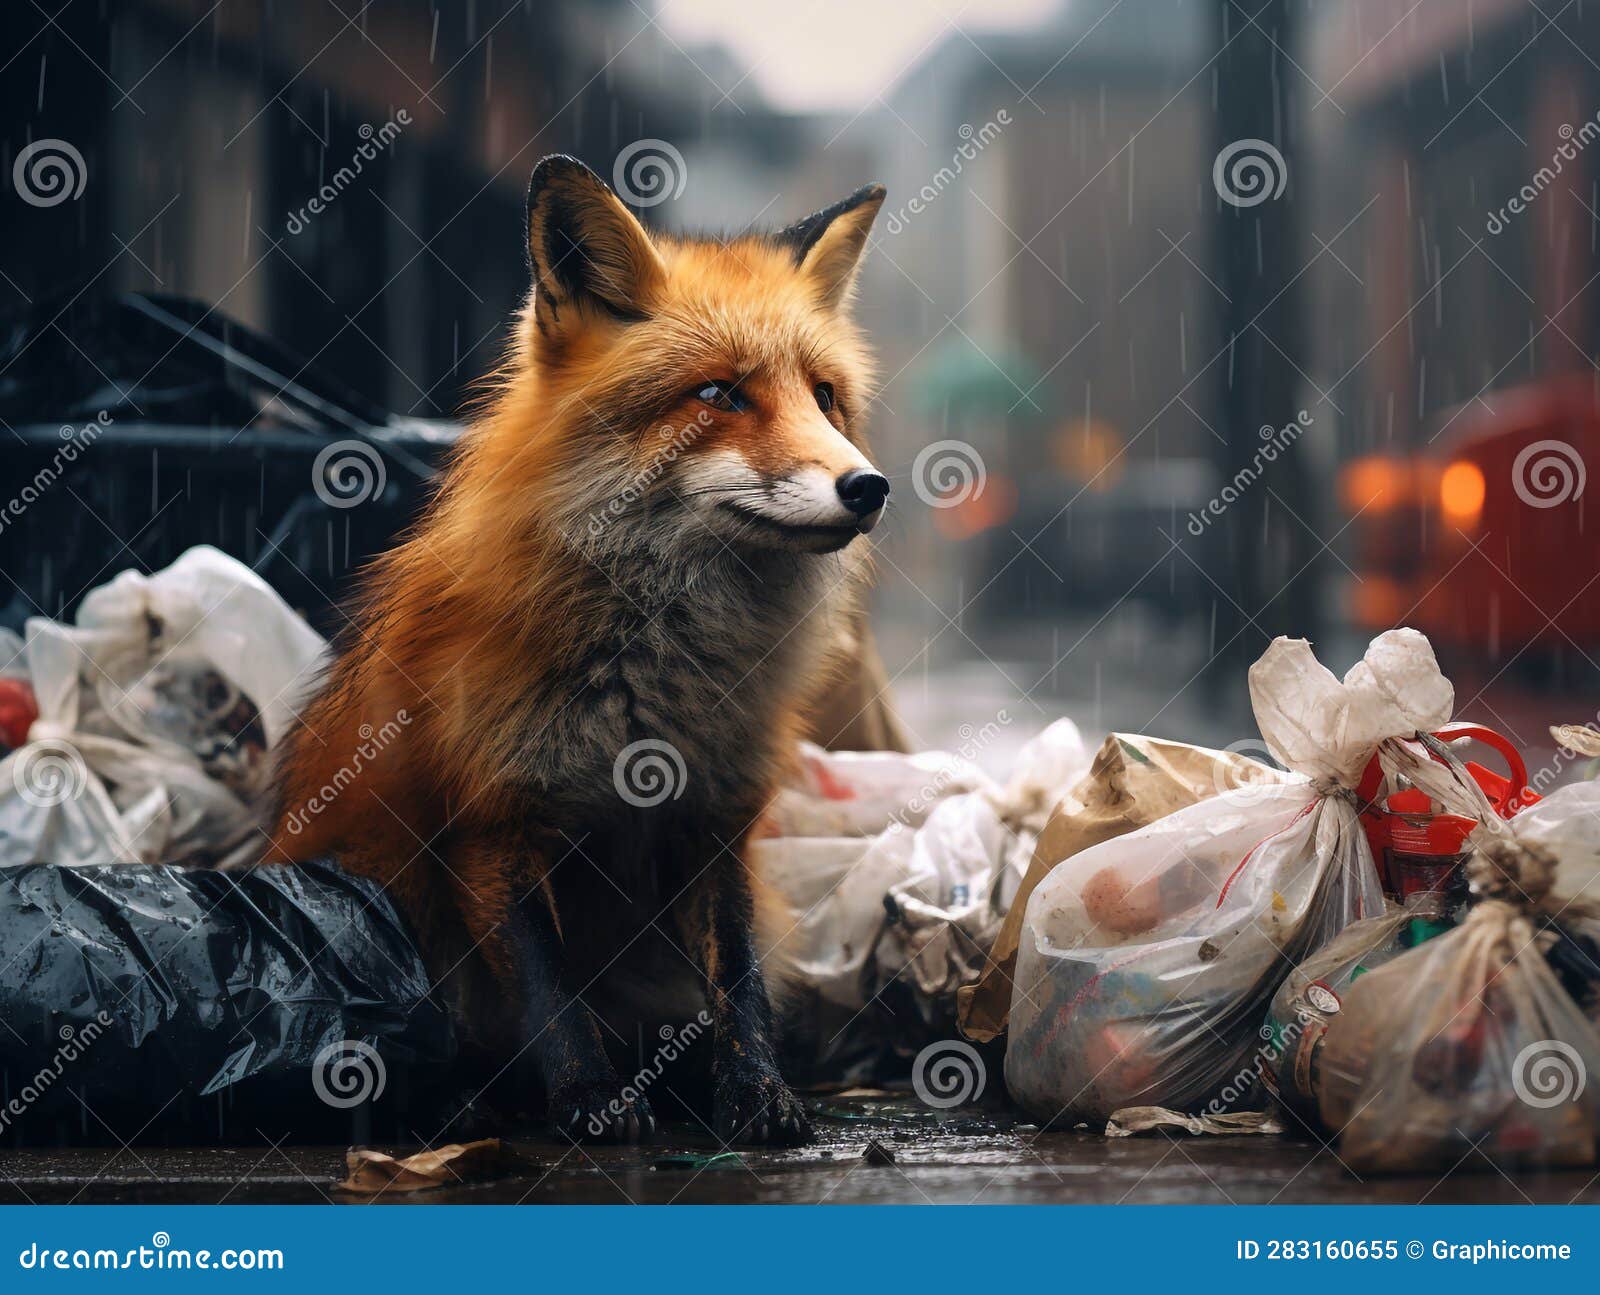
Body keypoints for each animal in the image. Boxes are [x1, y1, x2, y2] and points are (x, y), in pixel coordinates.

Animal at [266, 155, 891, 1145]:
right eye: (719, 395)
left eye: (824, 397)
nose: (868, 487)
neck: (656, 678)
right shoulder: (494, 821)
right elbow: (550, 990)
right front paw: (592, 1099)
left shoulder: (717, 820)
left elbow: (739, 979)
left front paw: (754, 1090)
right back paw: (465, 1100)